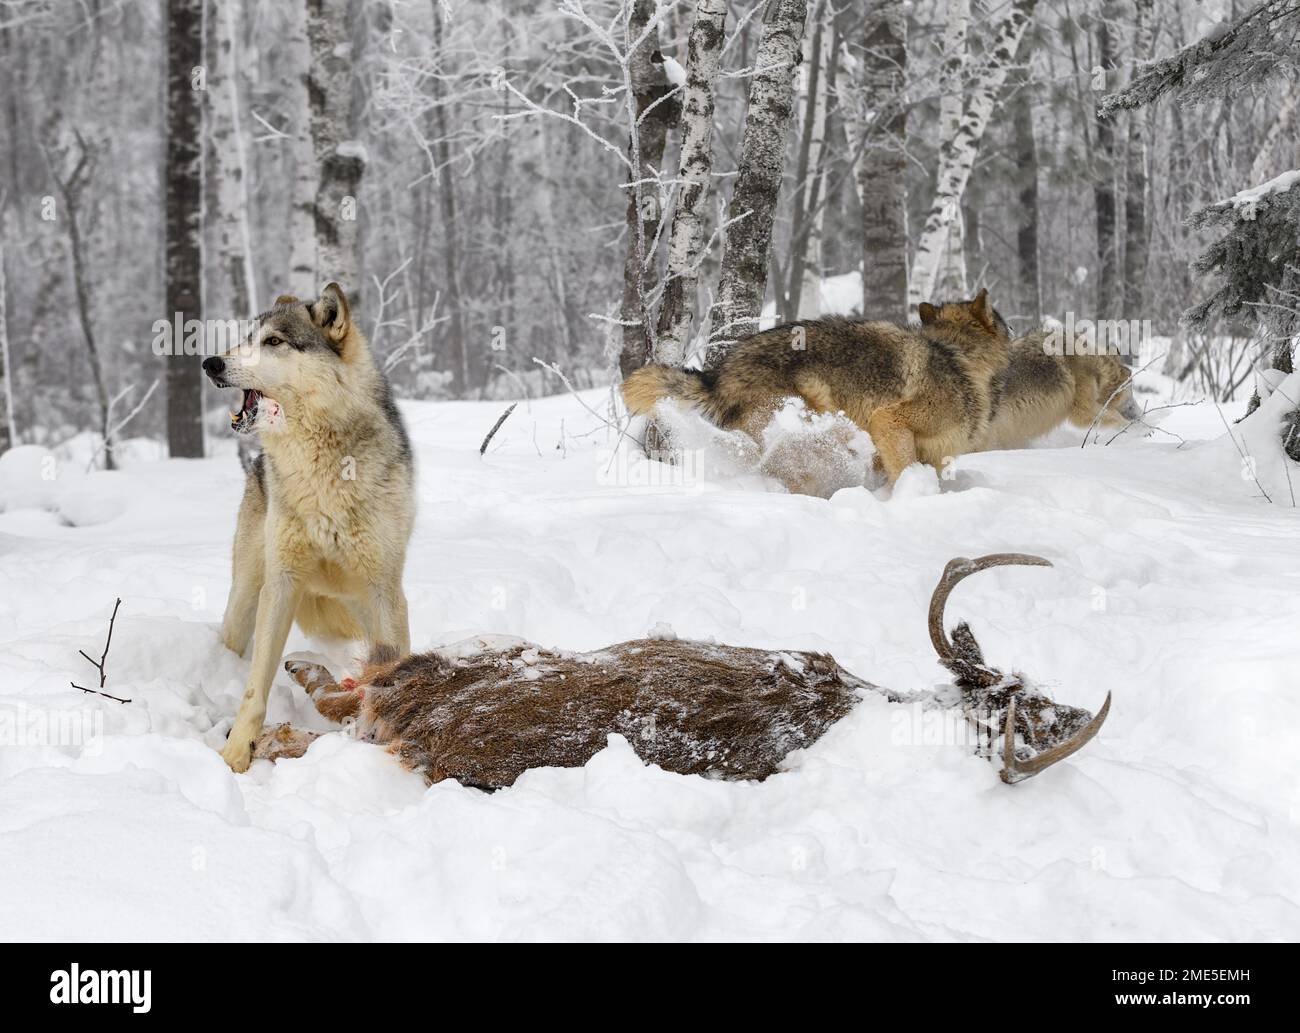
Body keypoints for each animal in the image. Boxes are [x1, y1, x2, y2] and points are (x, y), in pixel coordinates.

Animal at [201, 283, 415, 773]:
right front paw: (236, 753)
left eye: (274, 342)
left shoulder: (385, 591)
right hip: (246, 597)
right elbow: (254, 689)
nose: (211, 363)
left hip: (367, 608)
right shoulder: (280, 584)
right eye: (246, 338)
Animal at [622, 290, 1013, 484]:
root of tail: (717, 373)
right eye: (1006, 323)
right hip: (809, 417)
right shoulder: (888, 421)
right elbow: (904, 471)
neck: (957, 355)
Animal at [982, 331, 1138, 450]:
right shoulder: (1083, 409)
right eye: (1131, 386)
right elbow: (1116, 417)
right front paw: (1138, 430)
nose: (1138, 412)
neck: (1097, 368)